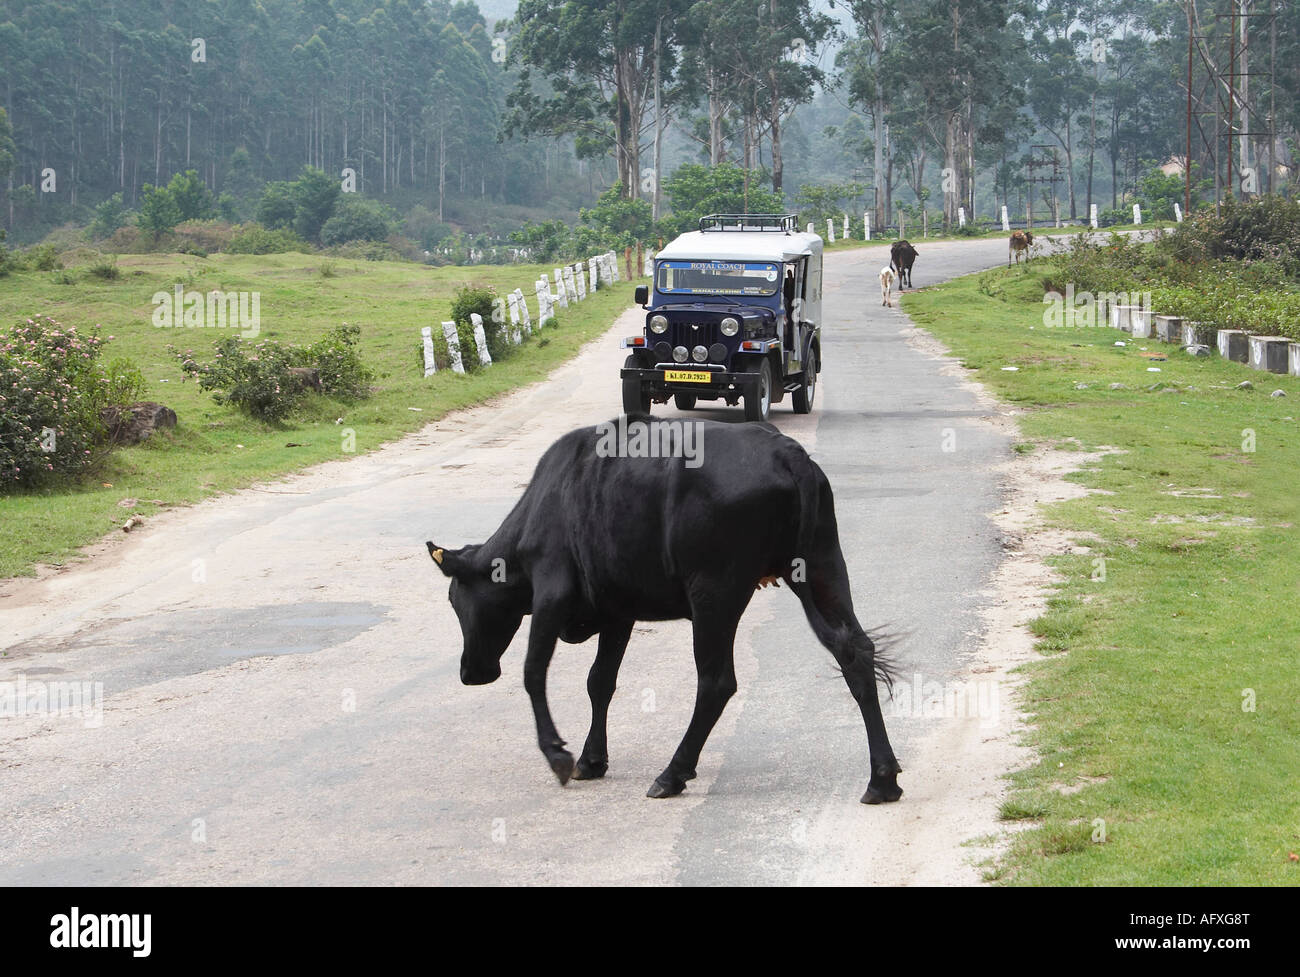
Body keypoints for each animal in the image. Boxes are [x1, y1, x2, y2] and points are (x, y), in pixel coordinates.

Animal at [427, 416, 904, 805]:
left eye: (455, 600)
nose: (470, 672)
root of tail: (787, 453)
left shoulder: (551, 593)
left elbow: (533, 673)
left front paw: (558, 754)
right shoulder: (617, 610)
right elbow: (600, 682)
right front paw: (592, 759)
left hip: (716, 592)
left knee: (716, 682)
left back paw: (672, 773)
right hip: (822, 565)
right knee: (856, 652)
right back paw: (882, 779)